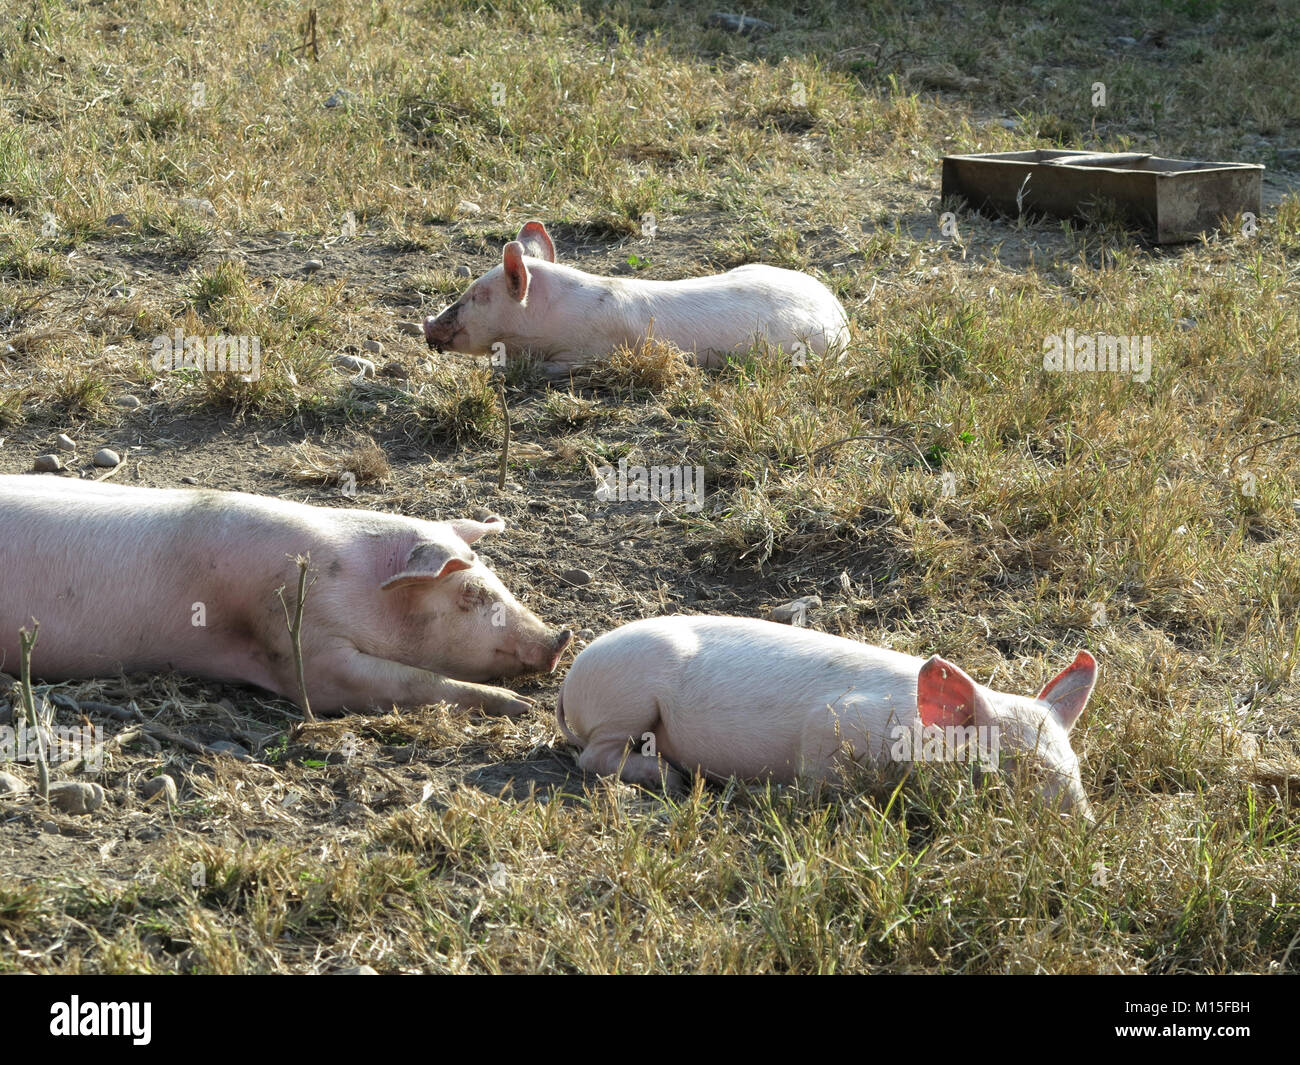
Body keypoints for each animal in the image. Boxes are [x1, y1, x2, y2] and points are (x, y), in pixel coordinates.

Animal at [557, 616, 1097, 818]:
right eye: (1019, 769)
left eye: (1074, 767)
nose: (1085, 825)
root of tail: (570, 679)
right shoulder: (833, 722)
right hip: (625, 700)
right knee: (593, 757)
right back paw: (670, 778)